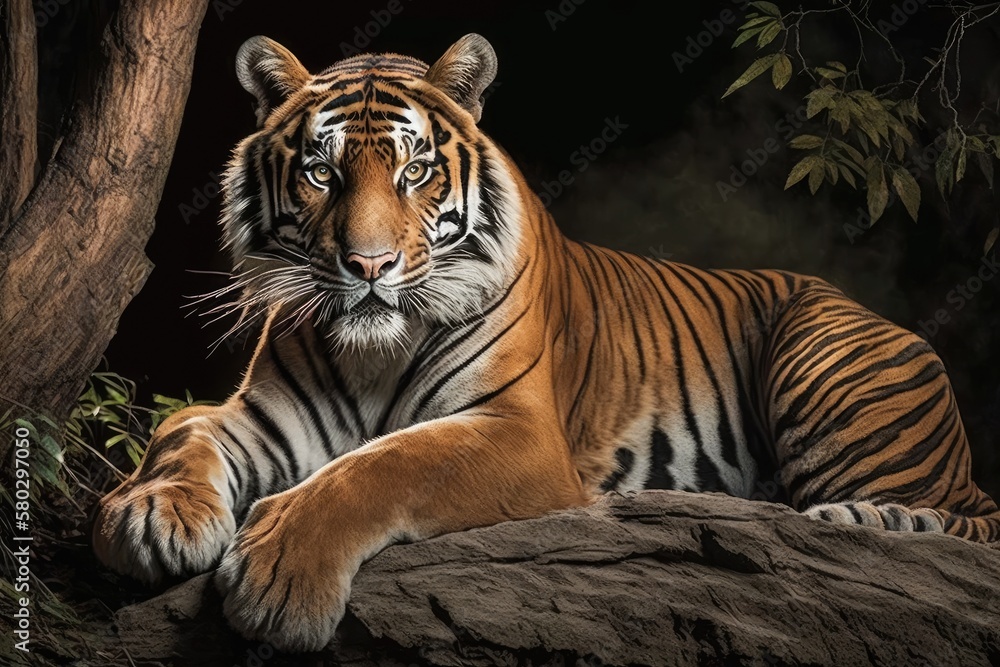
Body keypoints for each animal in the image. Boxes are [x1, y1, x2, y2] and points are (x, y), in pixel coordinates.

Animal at [92, 33, 1000, 652]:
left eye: (415, 171)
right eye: (322, 173)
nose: (369, 265)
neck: (374, 349)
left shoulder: (518, 432)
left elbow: (385, 464)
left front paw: (281, 575)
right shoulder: (267, 411)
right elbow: (181, 429)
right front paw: (151, 513)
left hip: (822, 353)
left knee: (957, 516)